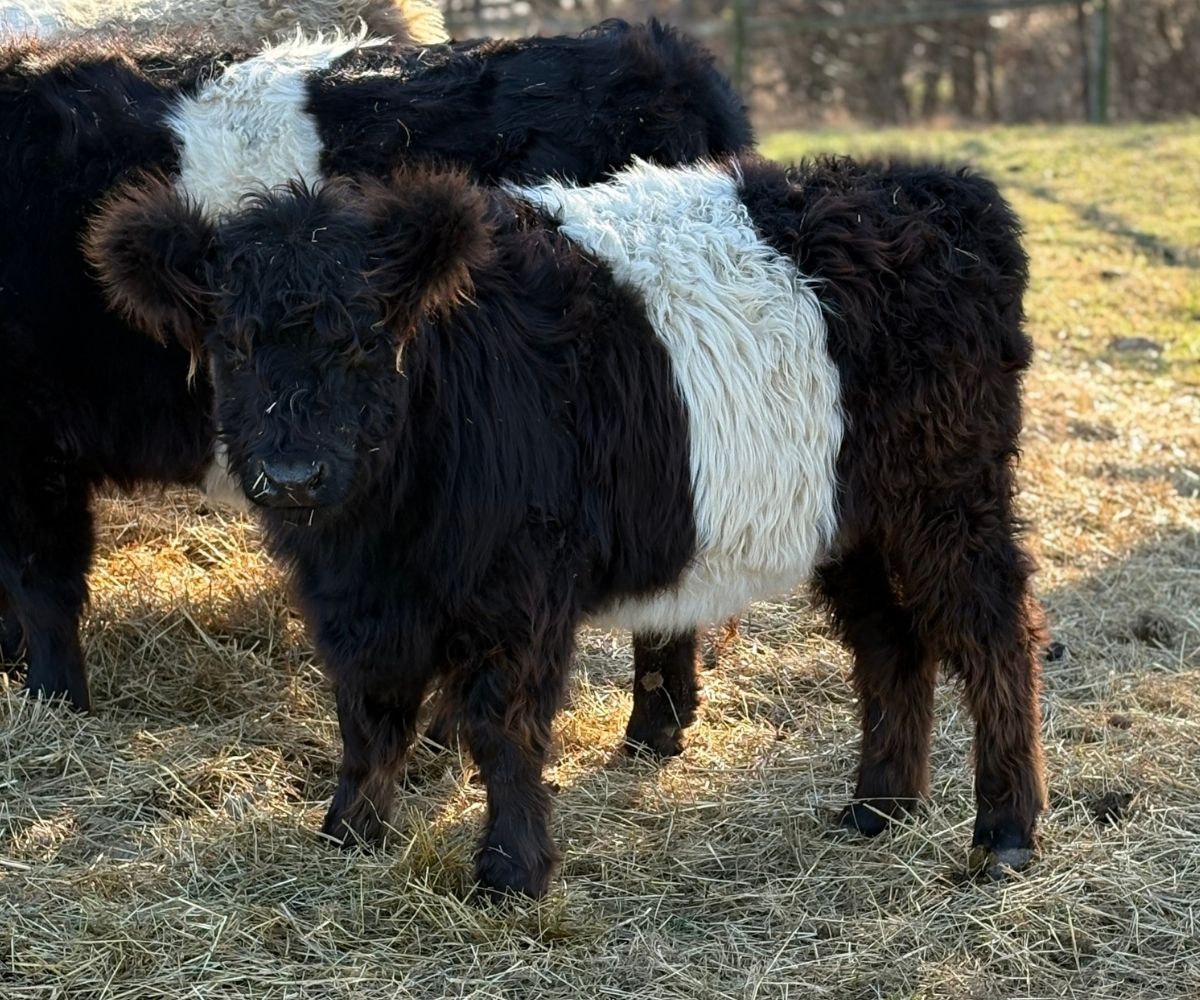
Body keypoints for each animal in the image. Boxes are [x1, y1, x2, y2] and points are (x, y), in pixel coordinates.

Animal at [87, 153, 1048, 897]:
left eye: (364, 340)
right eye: (235, 345)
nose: (292, 475)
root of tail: (940, 191)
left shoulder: (521, 589)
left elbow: (502, 727)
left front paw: (511, 872)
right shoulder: (356, 601)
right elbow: (369, 715)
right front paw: (349, 833)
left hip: (948, 500)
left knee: (995, 634)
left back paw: (1005, 830)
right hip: (854, 521)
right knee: (891, 644)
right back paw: (879, 806)